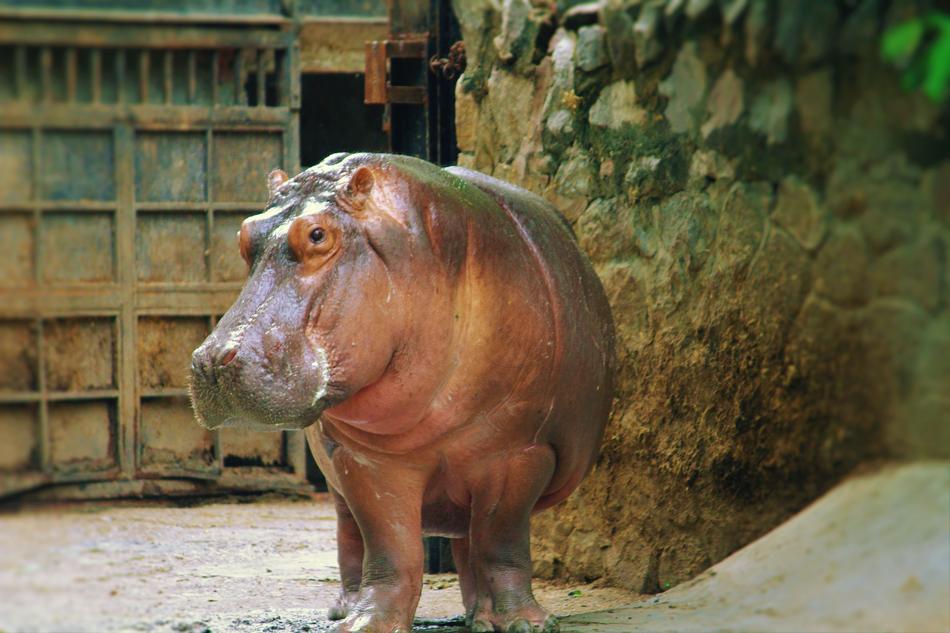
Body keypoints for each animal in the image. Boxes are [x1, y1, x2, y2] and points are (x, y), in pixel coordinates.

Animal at [189, 153, 614, 633]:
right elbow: (390, 548)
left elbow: (501, 544)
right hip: (336, 480)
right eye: (245, 235)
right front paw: (365, 624)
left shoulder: (523, 453)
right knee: (350, 537)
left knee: (471, 543)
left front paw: (527, 624)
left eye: (317, 234)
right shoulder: (366, 460)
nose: (211, 360)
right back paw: (346, 608)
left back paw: (481, 618)